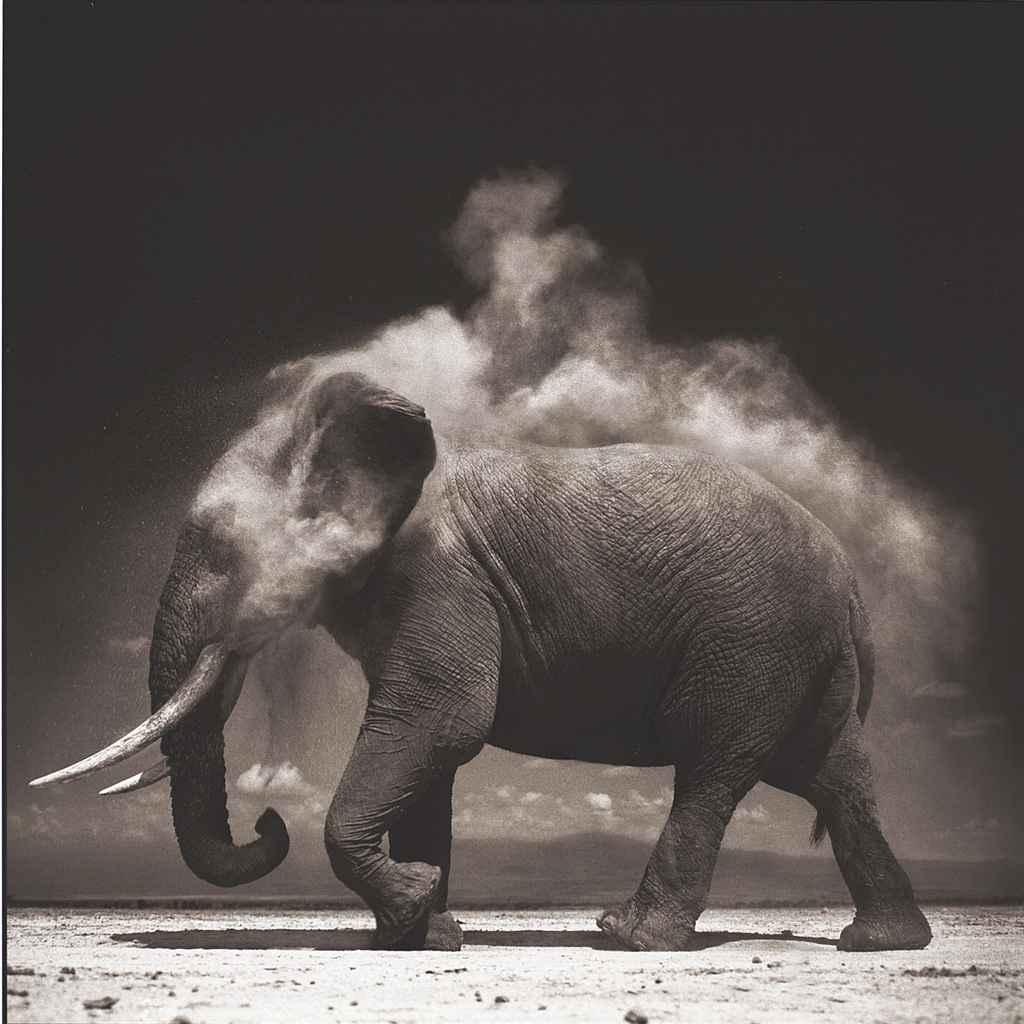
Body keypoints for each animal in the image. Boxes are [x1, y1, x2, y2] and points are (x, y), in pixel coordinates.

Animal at [32, 369, 932, 953]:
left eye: (223, 549)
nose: (266, 820)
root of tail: (853, 588)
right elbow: (429, 752)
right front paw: (423, 933)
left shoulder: (442, 578)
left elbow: (441, 722)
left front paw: (413, 906)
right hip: (798, 654)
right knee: (832, 778)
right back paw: (881, 942)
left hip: (752, 640)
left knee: (714, 770)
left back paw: (628, 937)